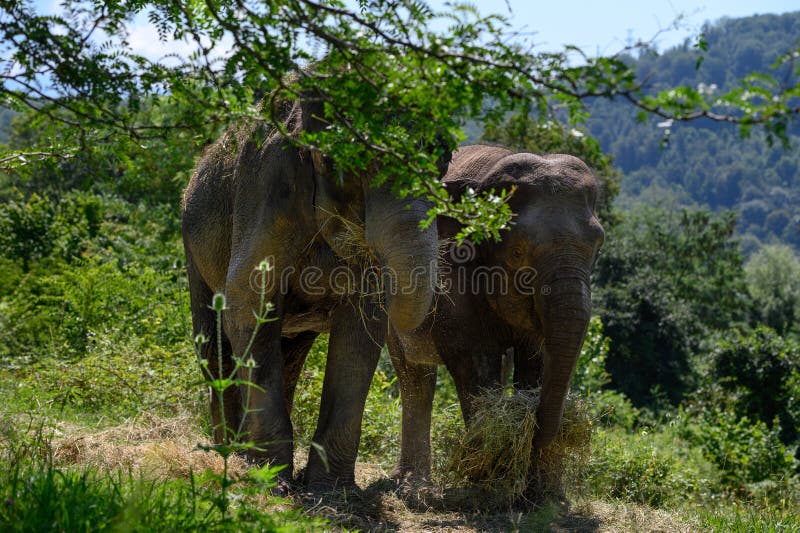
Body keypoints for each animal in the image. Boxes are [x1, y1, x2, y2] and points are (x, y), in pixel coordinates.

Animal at [181, 96, 445, 490]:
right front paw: (269, 481)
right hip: (192, 245)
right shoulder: (268, 183)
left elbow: (362, 325)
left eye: (441, 173)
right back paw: (232, 453)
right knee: (216, 349)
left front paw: (330, 490)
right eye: (356, 166)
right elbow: (247, 299)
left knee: (289, 354)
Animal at [387, 144, 604, 489]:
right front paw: (486, 481)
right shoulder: (451, 272)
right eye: (517, 252)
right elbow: (474, 360)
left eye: (598, 246)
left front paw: (538, 492)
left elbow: (536, 360)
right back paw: (411, 482)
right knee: (414, 375)